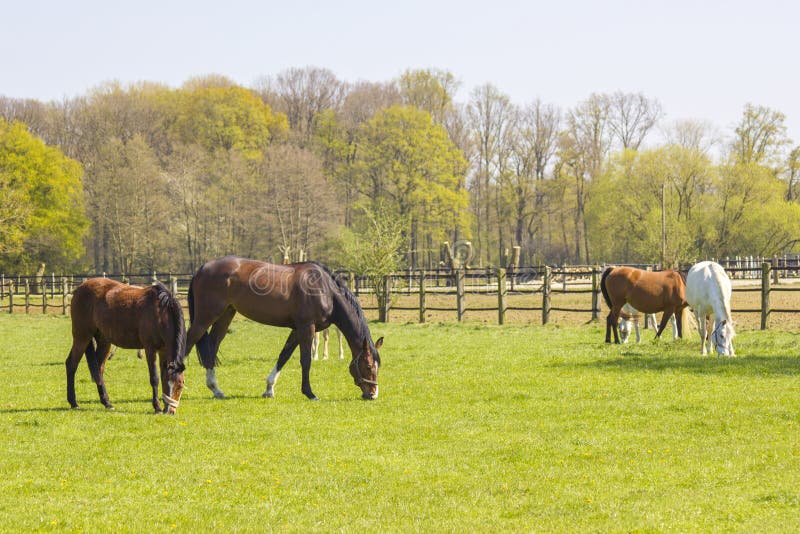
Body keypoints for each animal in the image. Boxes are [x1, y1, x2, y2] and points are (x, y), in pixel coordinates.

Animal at [66, 279, 187, 414]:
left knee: (99, 370)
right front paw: (157, 407)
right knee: (71, 364)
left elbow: (162, 375)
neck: (160, 313)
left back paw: (107, 402)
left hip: (103, 341)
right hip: (82, 337)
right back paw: (73, 402)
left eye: (180, 385)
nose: (170, 411)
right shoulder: (150, 349)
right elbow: (155, 378)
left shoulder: (163, 351)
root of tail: (79, 288)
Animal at [185, 256, 383, 401]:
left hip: (226, 314)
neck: (325, 290)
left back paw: (216, 390)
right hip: (206, 316)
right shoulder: (307, 327)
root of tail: (202, 269)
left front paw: (269, 389)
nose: (373, 394)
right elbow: (306, 360)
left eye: (377, 365)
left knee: (212, 346)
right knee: (188, 341)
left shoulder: (297, 329)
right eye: (368, 365)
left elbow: (284, 356)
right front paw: (310, 393)